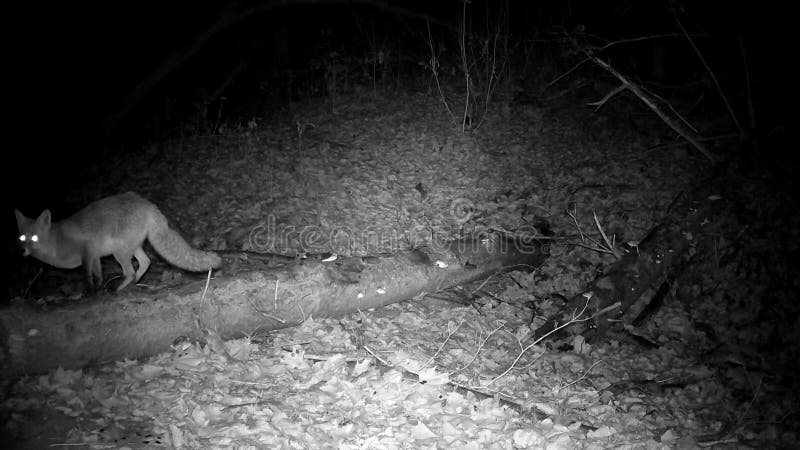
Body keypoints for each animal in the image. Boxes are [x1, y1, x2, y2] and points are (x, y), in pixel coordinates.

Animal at [15, 192, 222, 292]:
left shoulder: (87, 252)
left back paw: (120, 288)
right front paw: (99, 289)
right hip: (132, 248)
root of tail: (148, 205)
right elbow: (98, 275)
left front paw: (91, 292)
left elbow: (87, 277)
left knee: (129, 271)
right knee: (145, 262)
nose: (23, 251)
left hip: (119, 252)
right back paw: (135, 283)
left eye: (34, 238)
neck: (58, 242)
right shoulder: (96, 257)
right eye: (22, 238)